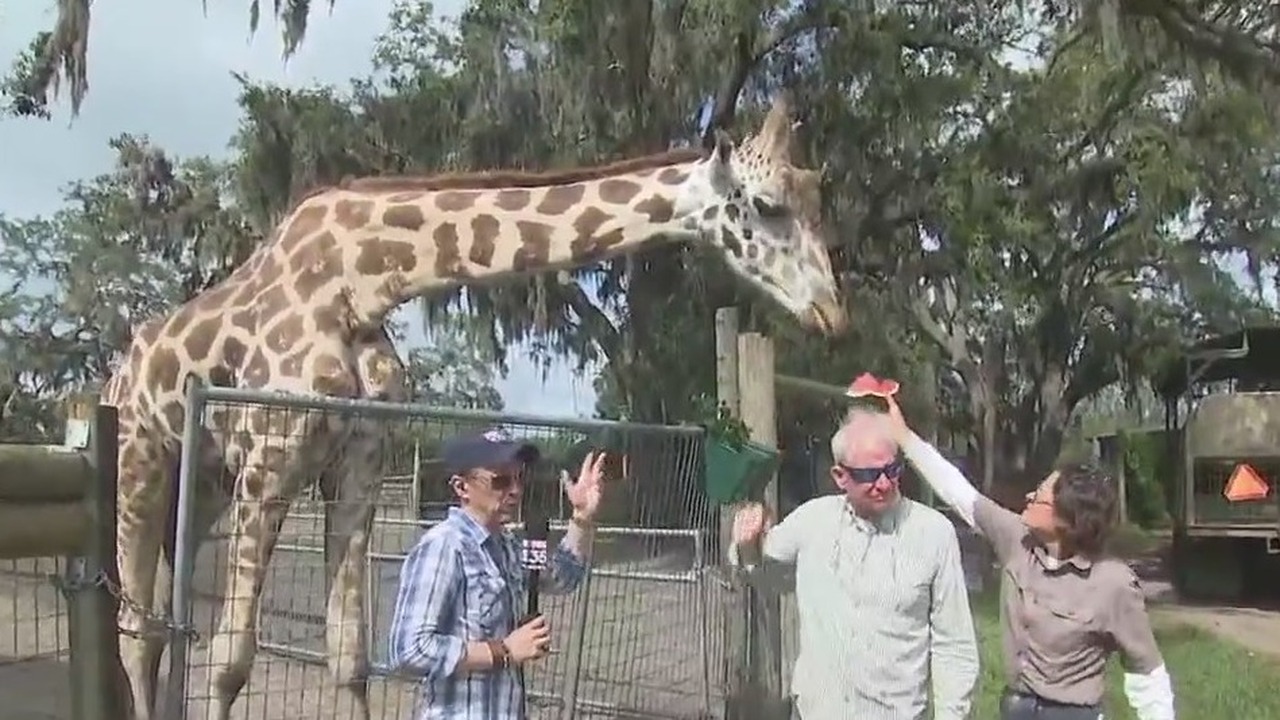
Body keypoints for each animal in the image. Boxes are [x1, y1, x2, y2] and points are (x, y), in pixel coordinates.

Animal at [103, 95, 848, 720]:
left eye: (818, 198)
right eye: (768, 205)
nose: (832, 314)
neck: (359, 288)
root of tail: (119, 371)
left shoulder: (357, 469)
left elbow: (349, 656)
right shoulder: (268, 466)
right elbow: (230, 661)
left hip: (202, 485)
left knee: (158, 619)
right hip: (143, 461)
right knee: (136, 629)